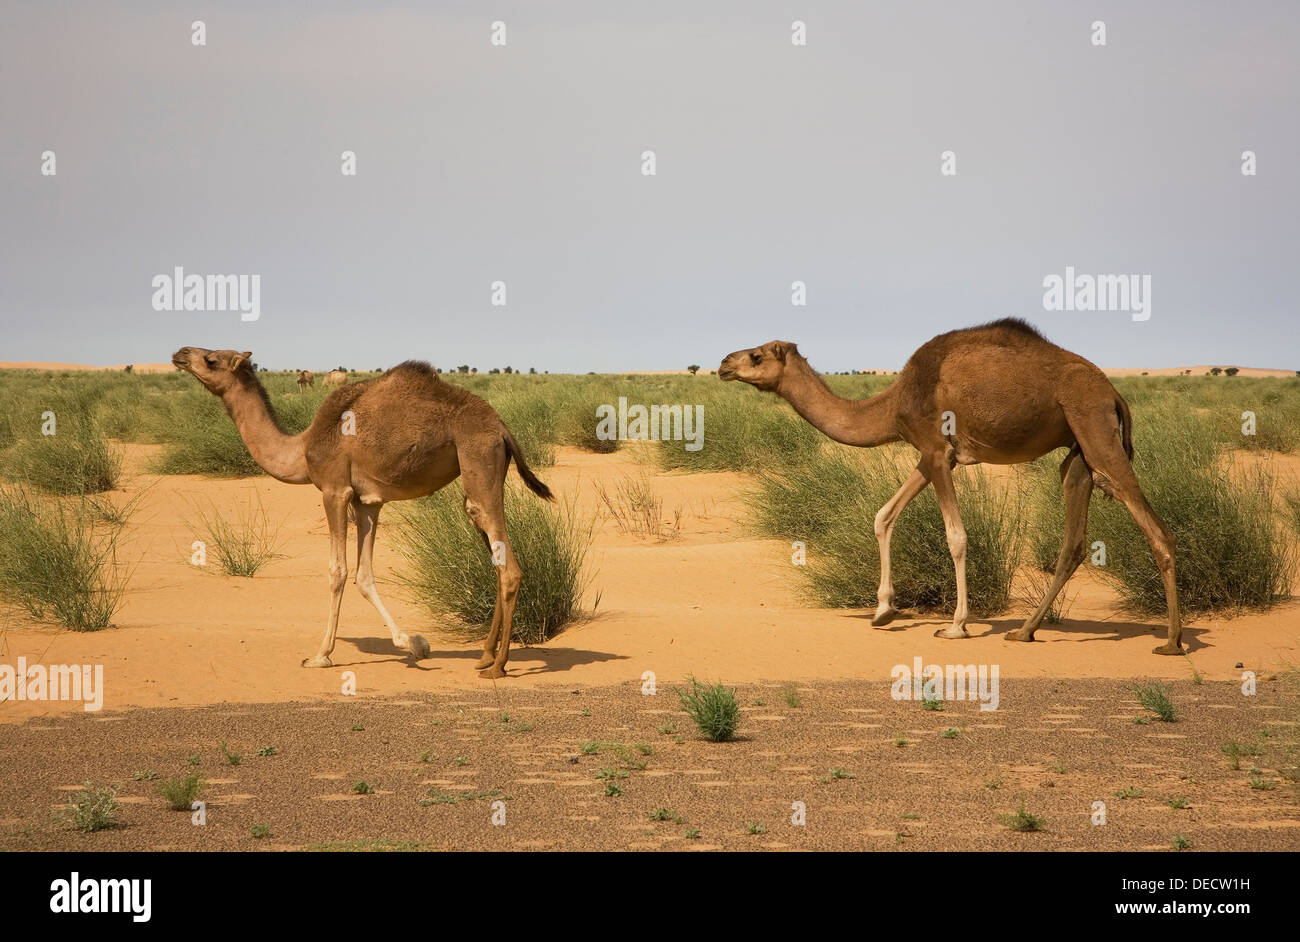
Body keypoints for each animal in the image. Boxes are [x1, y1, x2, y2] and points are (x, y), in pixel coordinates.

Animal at [171, 347, 553, 677]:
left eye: (212, 359)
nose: (180, 353)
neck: (302, 450)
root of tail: (502, 428)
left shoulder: (335, 491)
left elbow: (337, 572)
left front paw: (321, 654)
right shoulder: (367, 502)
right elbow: (364, 575)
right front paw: (414, 644)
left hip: (478, 457)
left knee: (508, 568)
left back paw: (498, 666)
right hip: (482, 473)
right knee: (495, 555)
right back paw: (485, 655)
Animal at [719, 318, 1183, 655]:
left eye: (756, 355)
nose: (724, 363)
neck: (892, 405)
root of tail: (1113, 391)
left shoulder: (938, 452)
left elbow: (955, 536)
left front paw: (956, 625)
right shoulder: (932, 455)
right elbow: (883, 516)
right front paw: (883, 611)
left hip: (1093, 426)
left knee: (1155, 529)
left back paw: (1173, 641)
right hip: (1078, 452)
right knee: (1074, 541)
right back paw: (1024, 631)